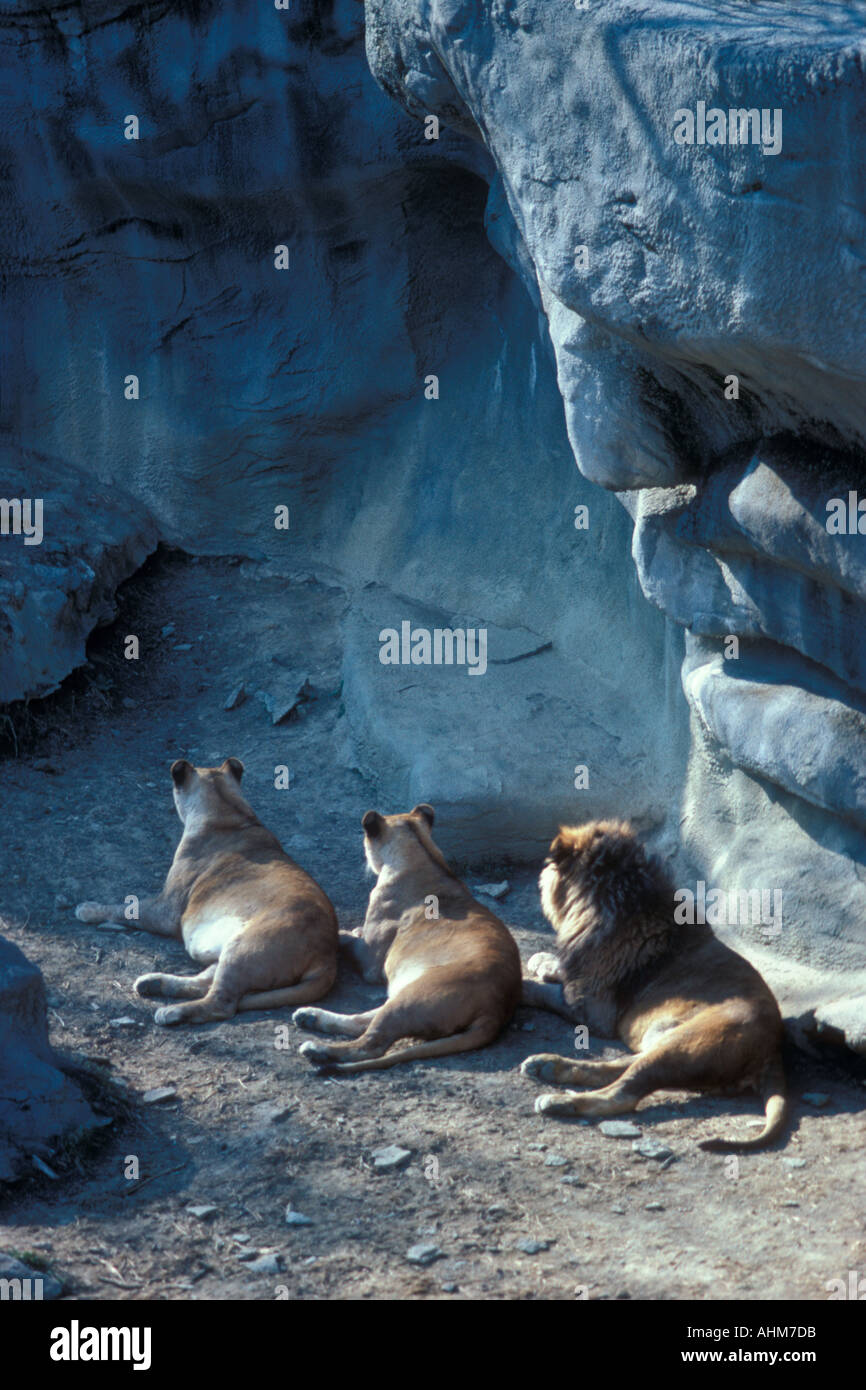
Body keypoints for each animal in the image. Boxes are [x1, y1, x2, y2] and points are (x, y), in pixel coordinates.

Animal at [75, 758, 338, 1025]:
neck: (229, 812)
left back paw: (171, 1011)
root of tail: (327, 956)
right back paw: (153, 983)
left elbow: (125, 908)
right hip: (229, 949)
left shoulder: (166, 911)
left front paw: (87, 909)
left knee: (221, 1004)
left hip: (243, 948)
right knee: (205, 982)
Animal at [292, 803, 521, 1072]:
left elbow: (345, 938)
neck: (422, 854)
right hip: (402, 996)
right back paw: (309, 1016)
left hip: (411, 998)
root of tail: (496, 1011)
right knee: (362, 1021)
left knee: (370, 1044)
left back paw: (317, 1050)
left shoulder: (370, 962)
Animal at [520, 820, 788, 1151]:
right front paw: (542, 961)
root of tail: (773, 1048)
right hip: (665, 1043)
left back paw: (556, 1100)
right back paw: (545, 1065)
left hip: (684, 1045)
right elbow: (556, 971)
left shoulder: (592, 1011)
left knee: (621, 1094)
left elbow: (542, 992)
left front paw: (523, 983)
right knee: (617, 1066)